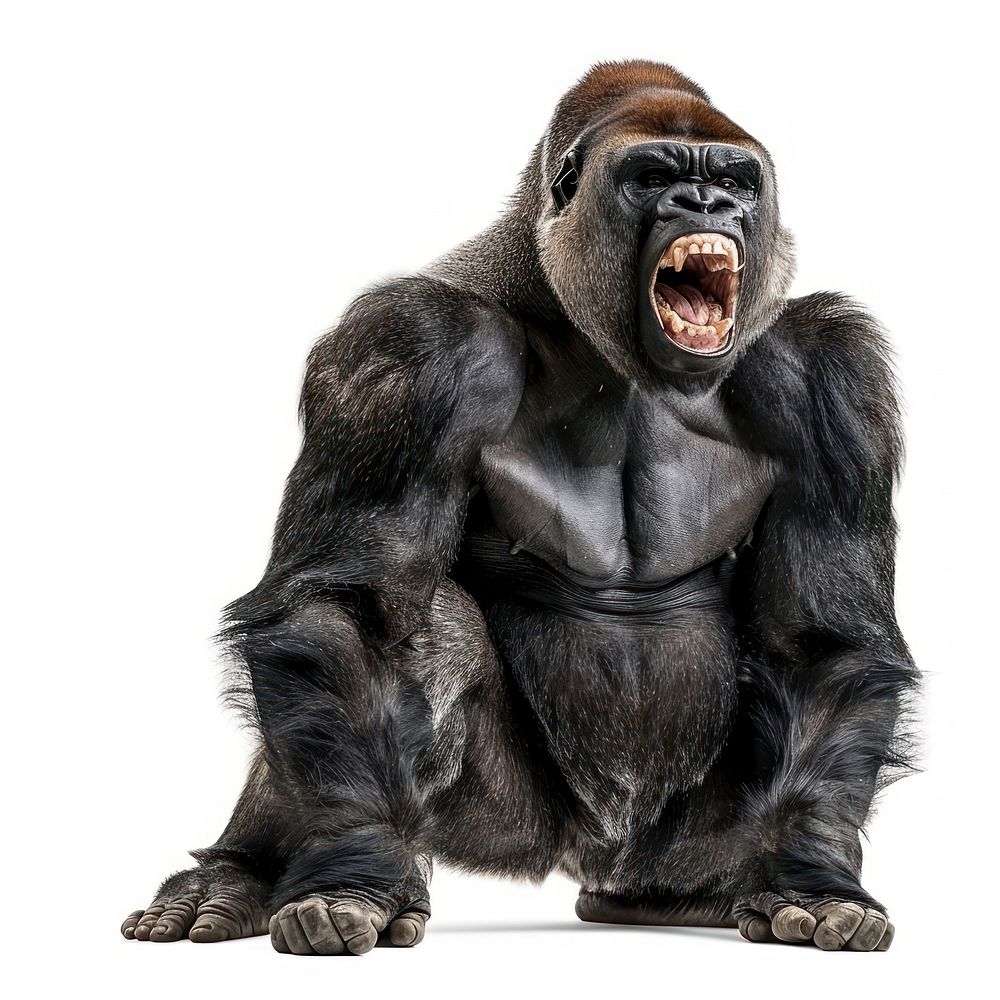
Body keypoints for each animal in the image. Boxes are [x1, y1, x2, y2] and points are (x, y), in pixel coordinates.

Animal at [122, 60, 916, 955]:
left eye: (734, 181)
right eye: (654, 177)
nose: (705, 206)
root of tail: (598, 859)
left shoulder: (825, 374)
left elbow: (822, 645)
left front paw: (810, 872)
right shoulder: (410, 347)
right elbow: (352, 611)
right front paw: (356, 870)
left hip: (673, 850)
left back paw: (695, 897)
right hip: (514, 827)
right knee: (423, 634)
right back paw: (239, 873)